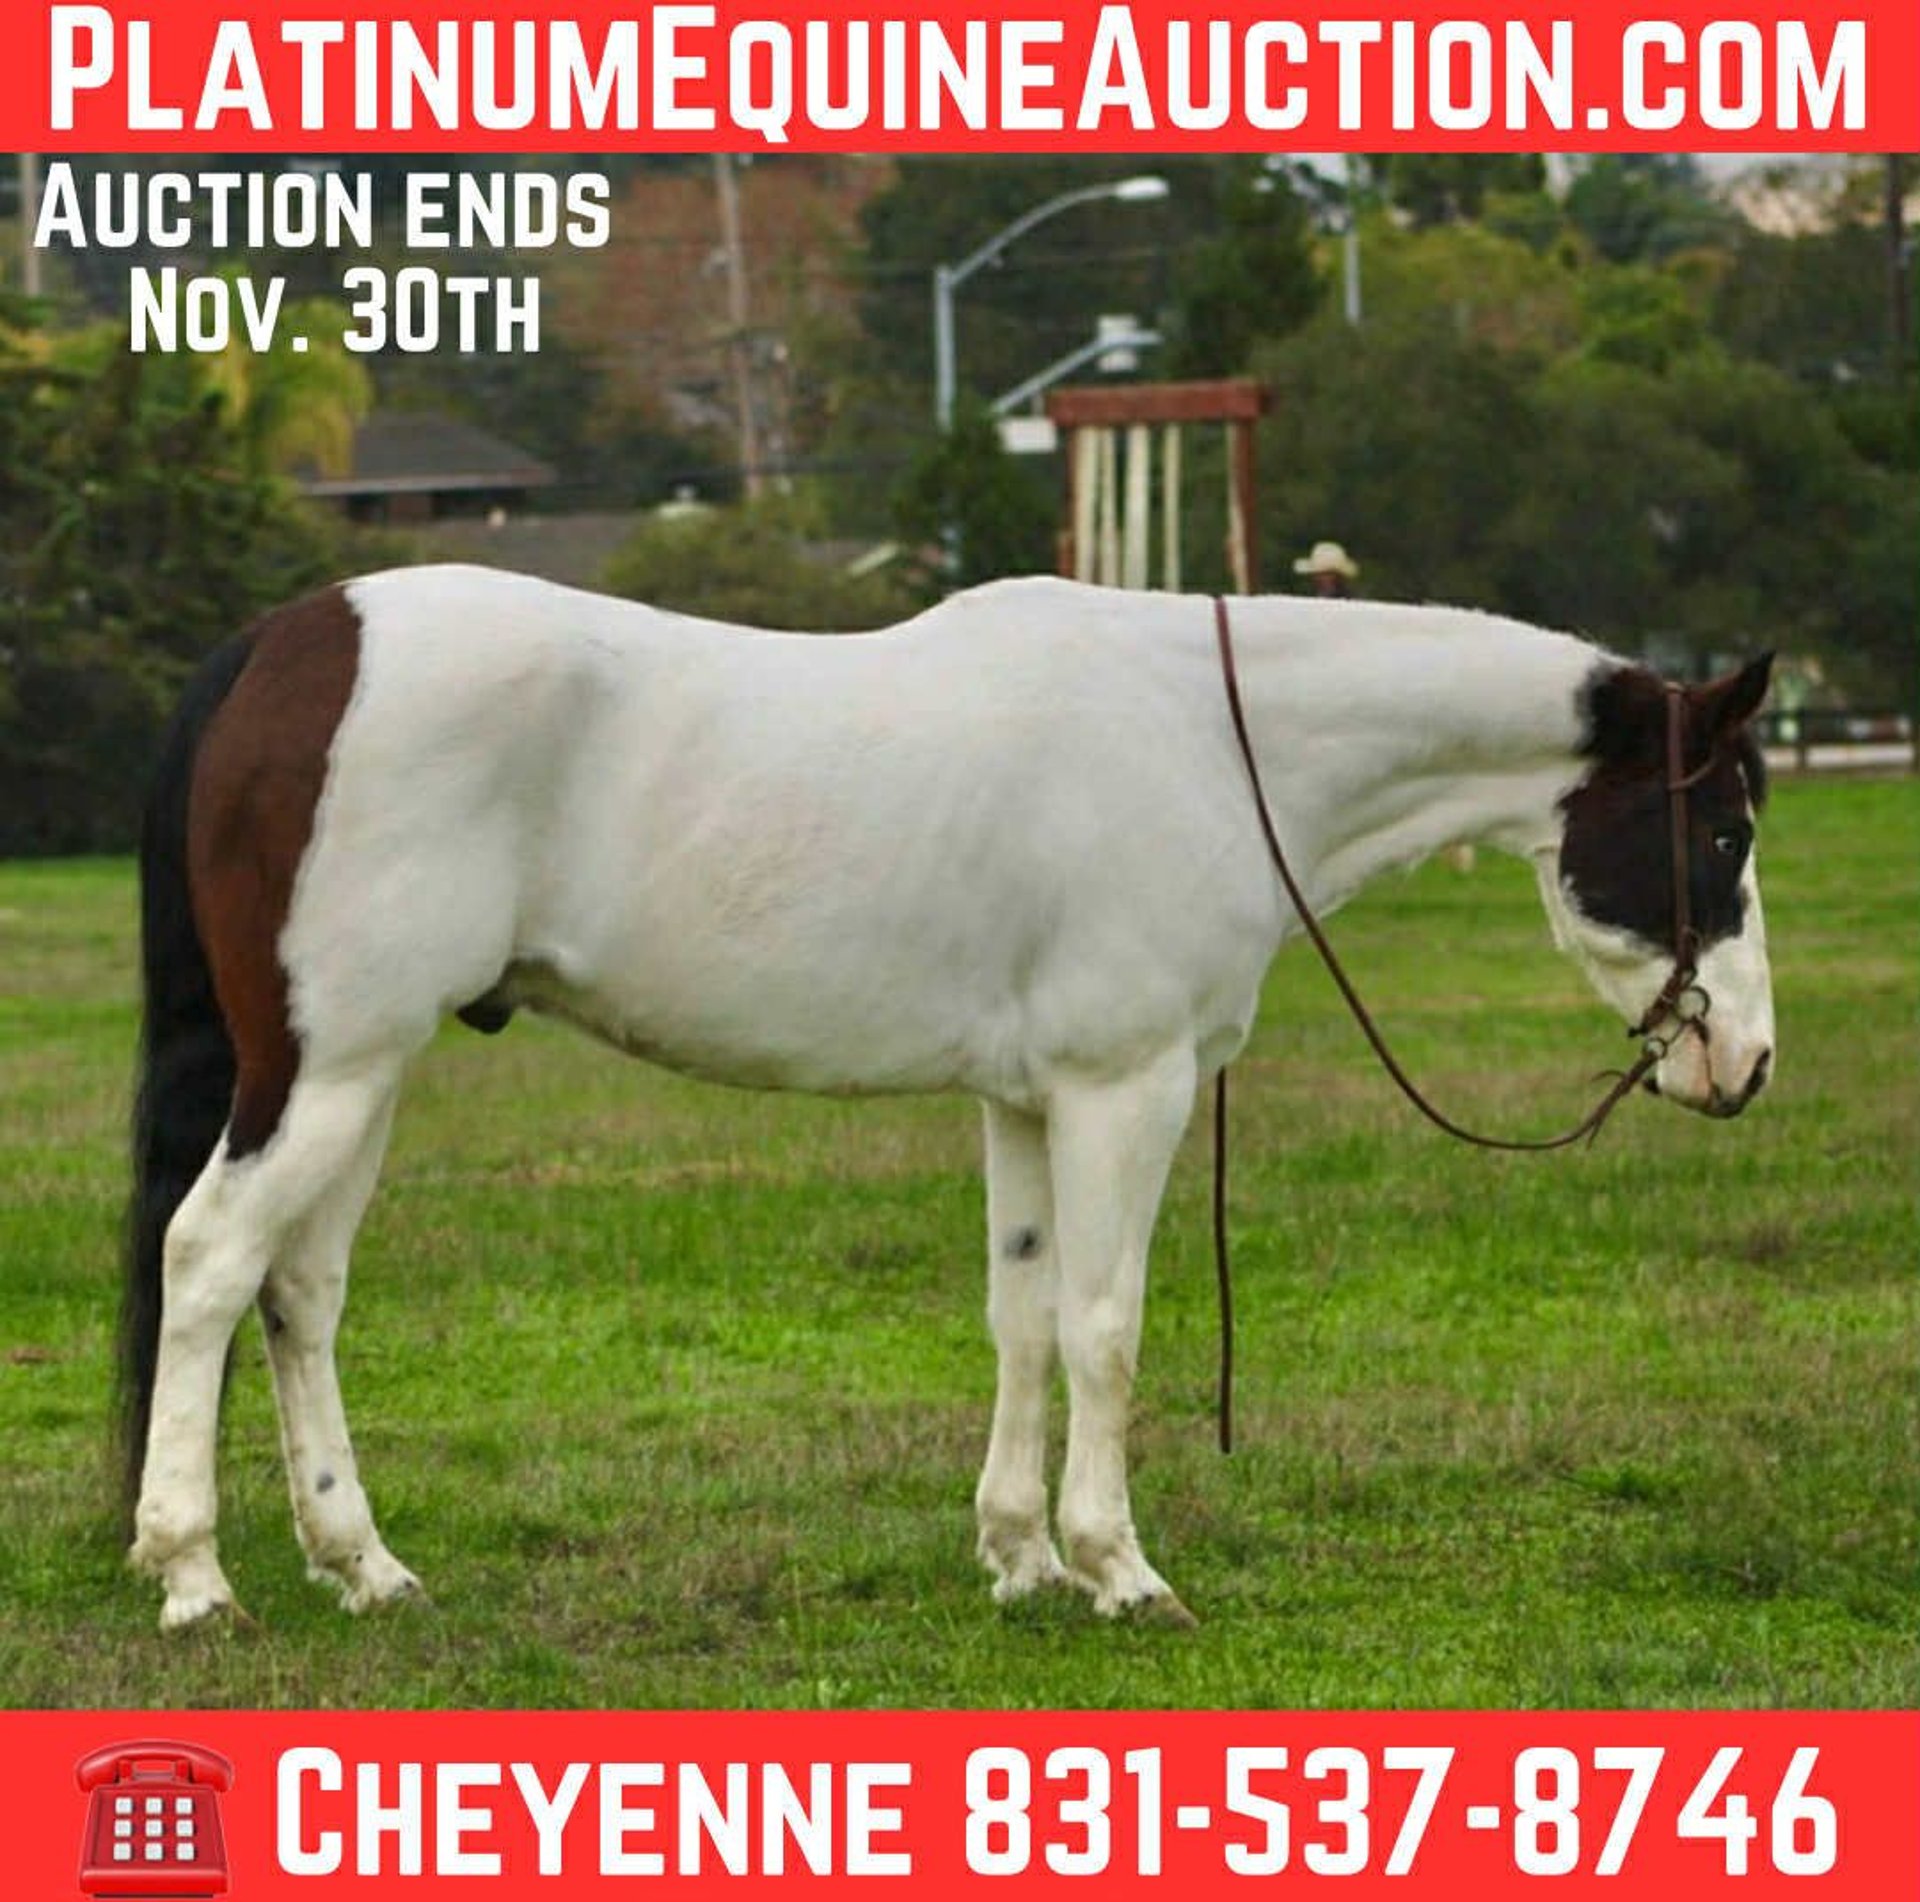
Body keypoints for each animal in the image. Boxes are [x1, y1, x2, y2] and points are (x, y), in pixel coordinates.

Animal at [122, 567, 1774, 1631]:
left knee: (300, 1289)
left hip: (363, 1074)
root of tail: (288, 644)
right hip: (325, 1070)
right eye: (1725, 827)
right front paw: (1120, 1569)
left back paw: (362, 1565)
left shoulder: (1025, 1101)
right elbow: (1106, 1327)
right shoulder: (1125, 1088)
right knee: (209, 1259)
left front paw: (1020, 1555)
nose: (1744, 1062)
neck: (1207, 741)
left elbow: (1023, 1316)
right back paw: (194, 1573)